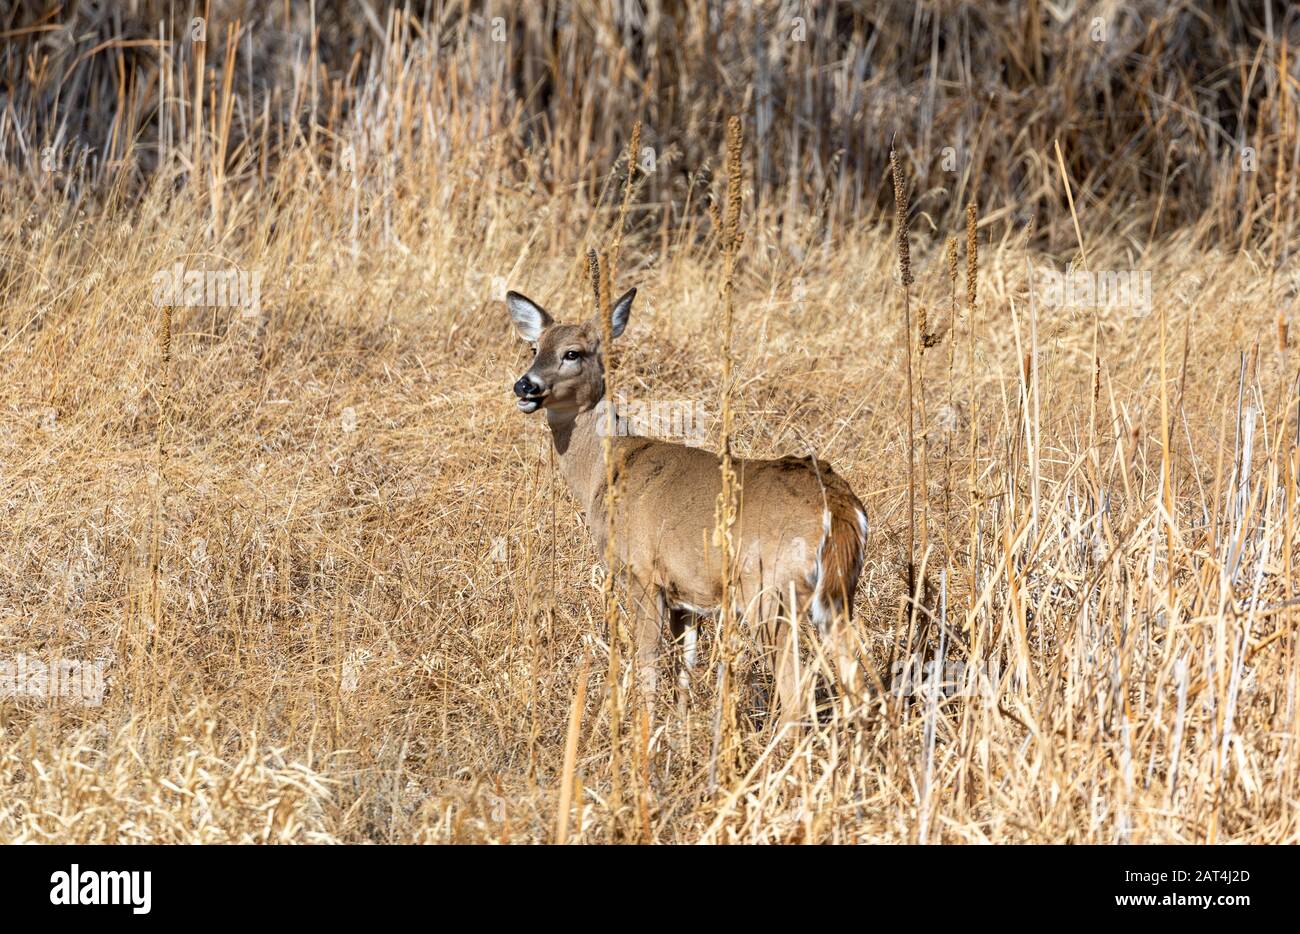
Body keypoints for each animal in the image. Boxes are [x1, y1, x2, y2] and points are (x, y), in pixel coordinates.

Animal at [506, 286, 869, 733]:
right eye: (534, 348)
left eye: (572, 352)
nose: (526, 385)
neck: (606, 471)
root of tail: (839, 507)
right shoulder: (687, 593)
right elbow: (685, 665)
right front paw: (679, 730)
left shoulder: (642, 572)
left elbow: (647, 663)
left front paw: (641, 731)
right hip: (838, 596)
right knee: (858, 685)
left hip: (770, 591)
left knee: (797, 695)